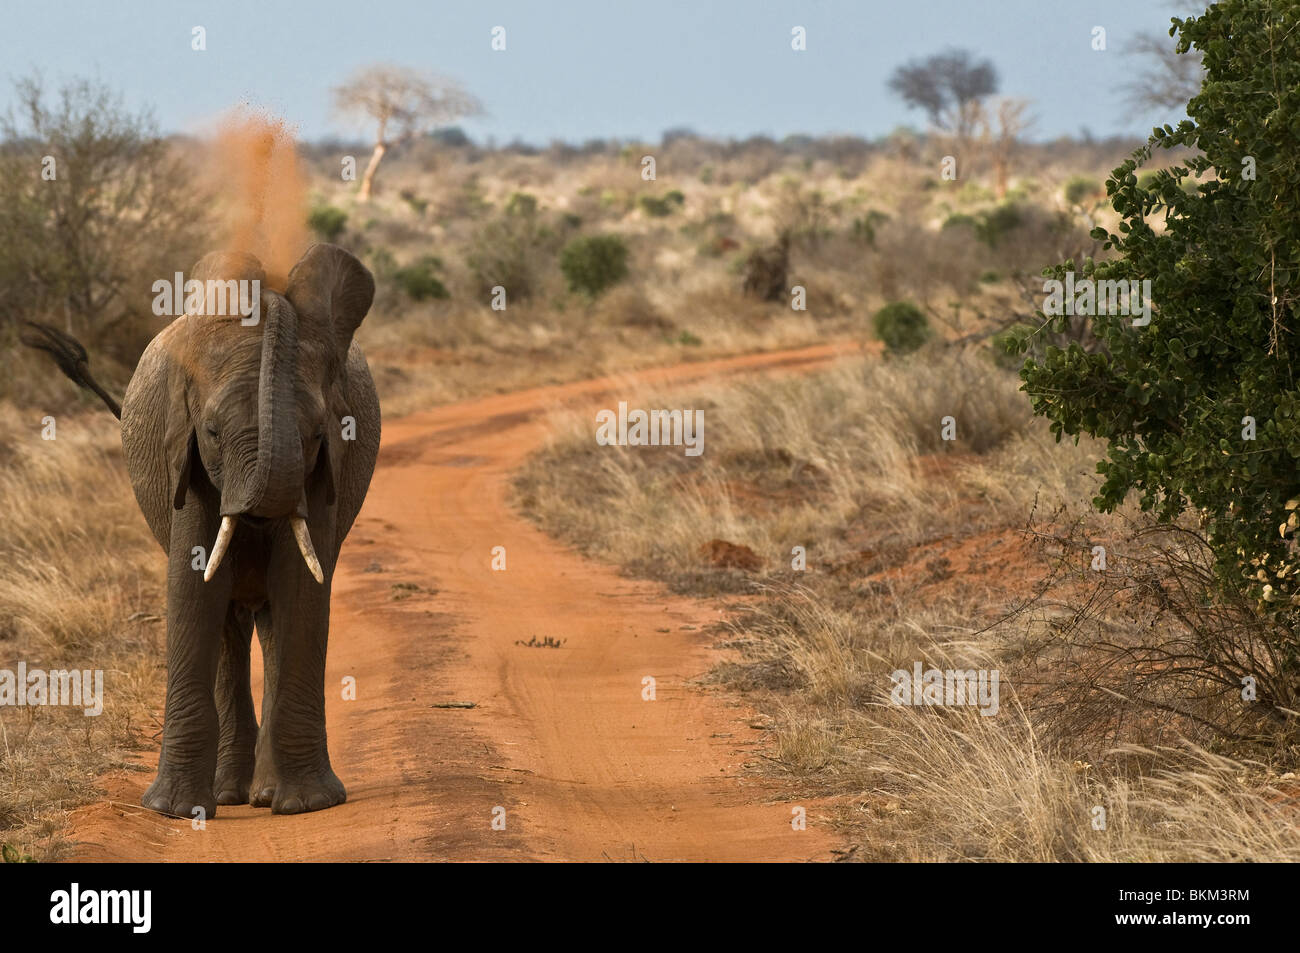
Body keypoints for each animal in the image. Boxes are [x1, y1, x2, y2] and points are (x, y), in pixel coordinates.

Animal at [23, 243, 380, 818]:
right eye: (212, 432)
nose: (272, 295)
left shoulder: (330, 466)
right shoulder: (183, 452)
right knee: (231, 627)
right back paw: (230, 793)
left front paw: (307, 805)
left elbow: (301, 588)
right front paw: (171, 810)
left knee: (269, 621)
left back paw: (263, 794)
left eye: (316, 434)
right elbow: (194, 587)